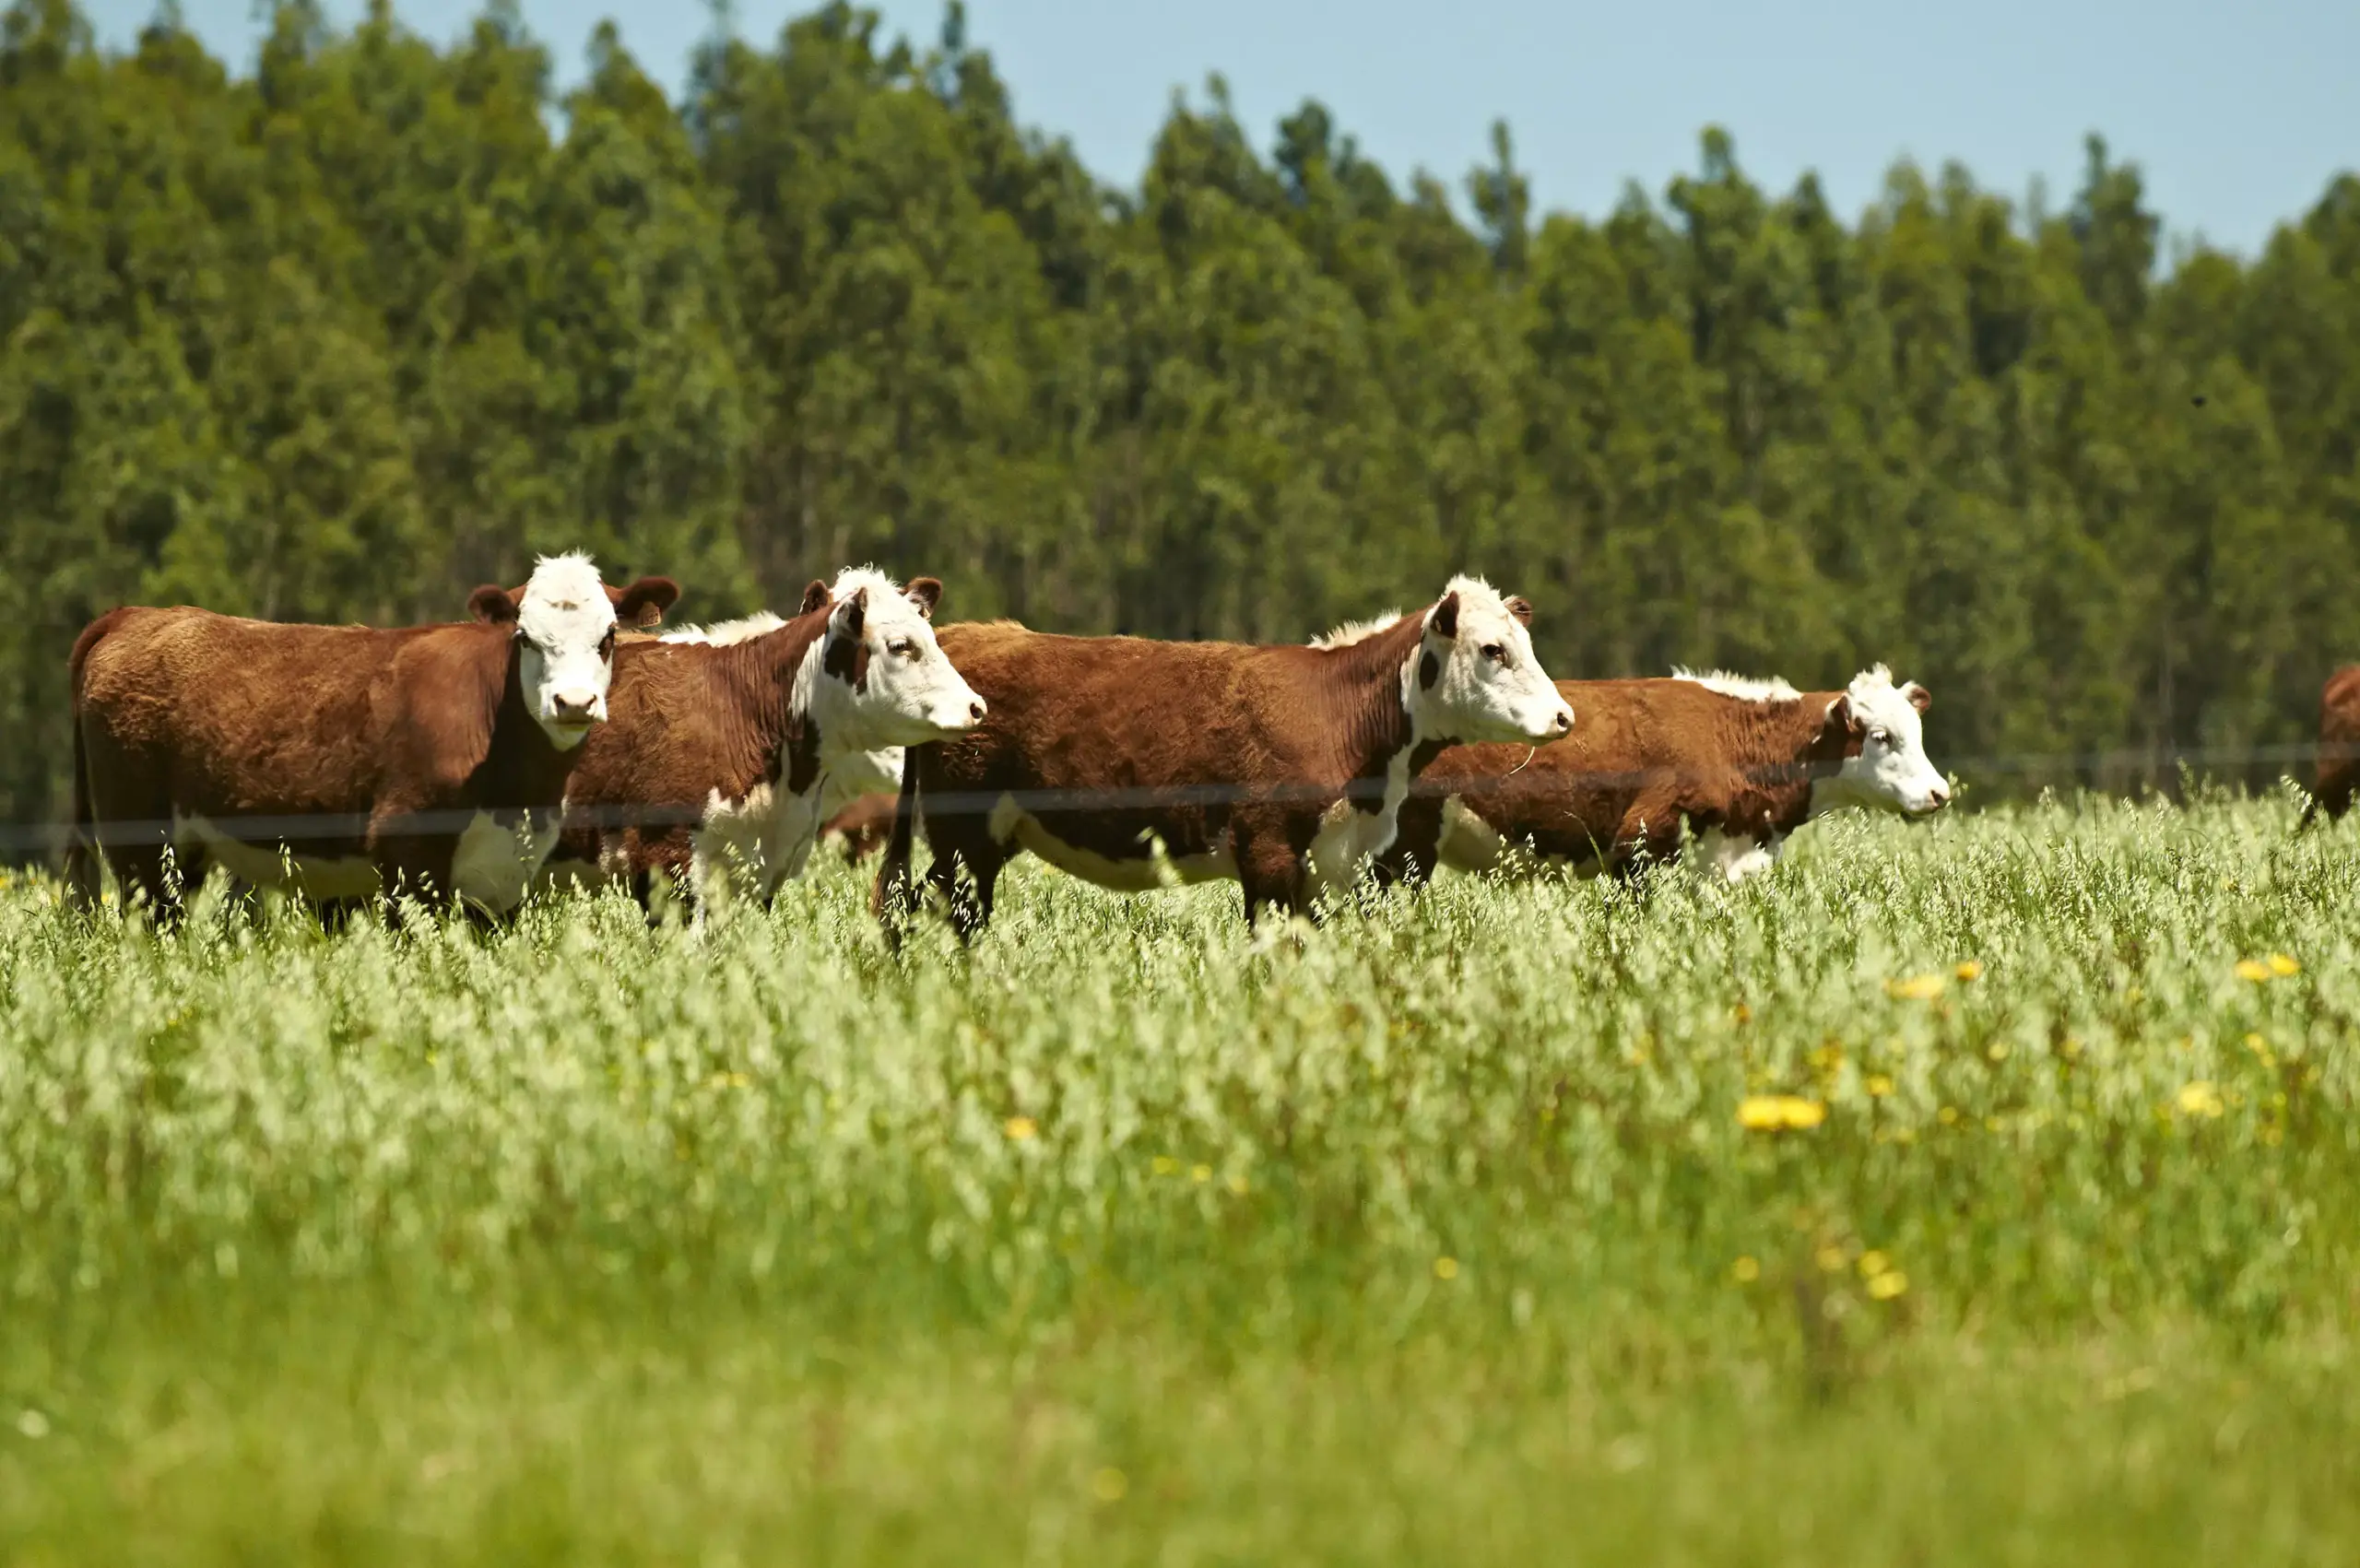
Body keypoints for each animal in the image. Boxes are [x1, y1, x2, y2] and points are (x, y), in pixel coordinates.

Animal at [67, 554, 678, 919]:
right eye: (525, 636)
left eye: (608, 635)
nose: (573, 702)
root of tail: (134, 615)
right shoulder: (407, 855)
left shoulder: (503, 878)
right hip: (140, 842)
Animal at [873, 576, 1577, 937]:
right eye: (1492, 649)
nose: (1564, 716)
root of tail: (970, 635)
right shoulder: (1268, 851)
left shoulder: (1329, 864)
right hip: (964, 832)